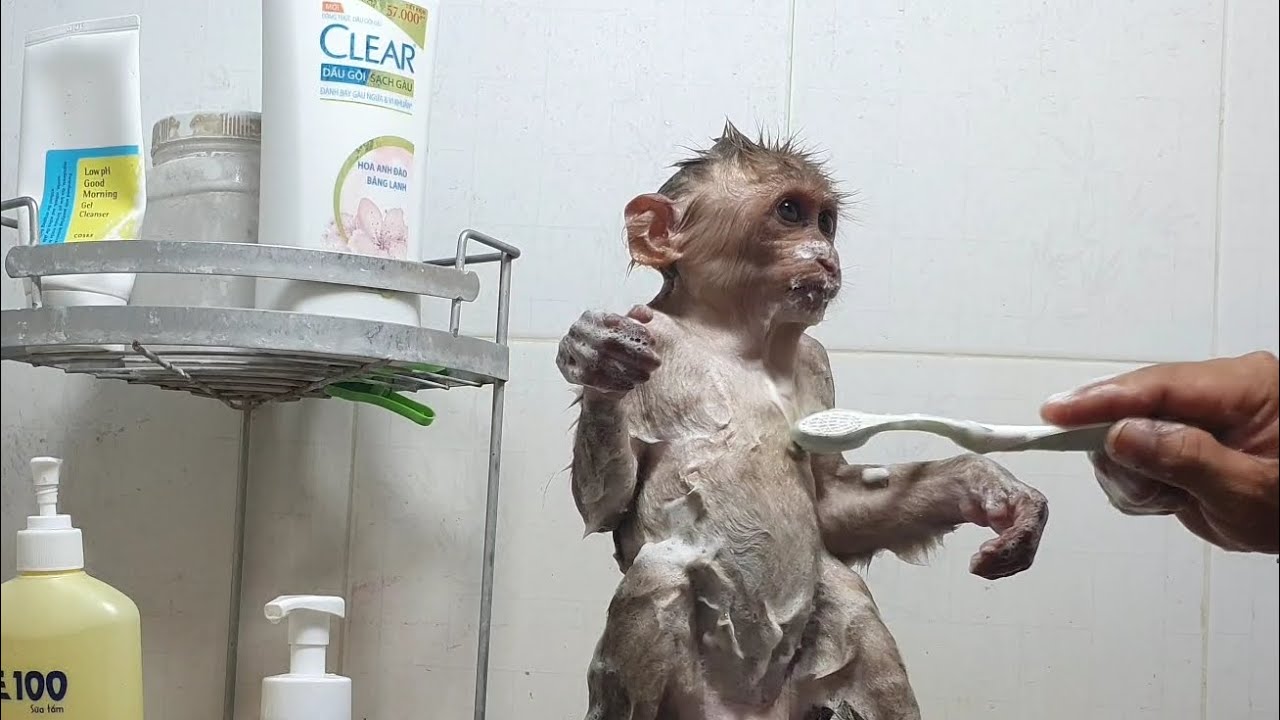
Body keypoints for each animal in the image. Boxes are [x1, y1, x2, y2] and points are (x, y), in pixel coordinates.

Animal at [556, 123, 1049, 720]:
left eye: (825, 221)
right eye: (790, 212)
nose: (826, 251)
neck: (734, 340)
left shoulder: (816, 360)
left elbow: (834, 505)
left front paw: (983, 485)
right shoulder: (648, 332)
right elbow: (605, 506)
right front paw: (597, 359)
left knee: (849, 602)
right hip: (690, 700)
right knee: (659, 575)